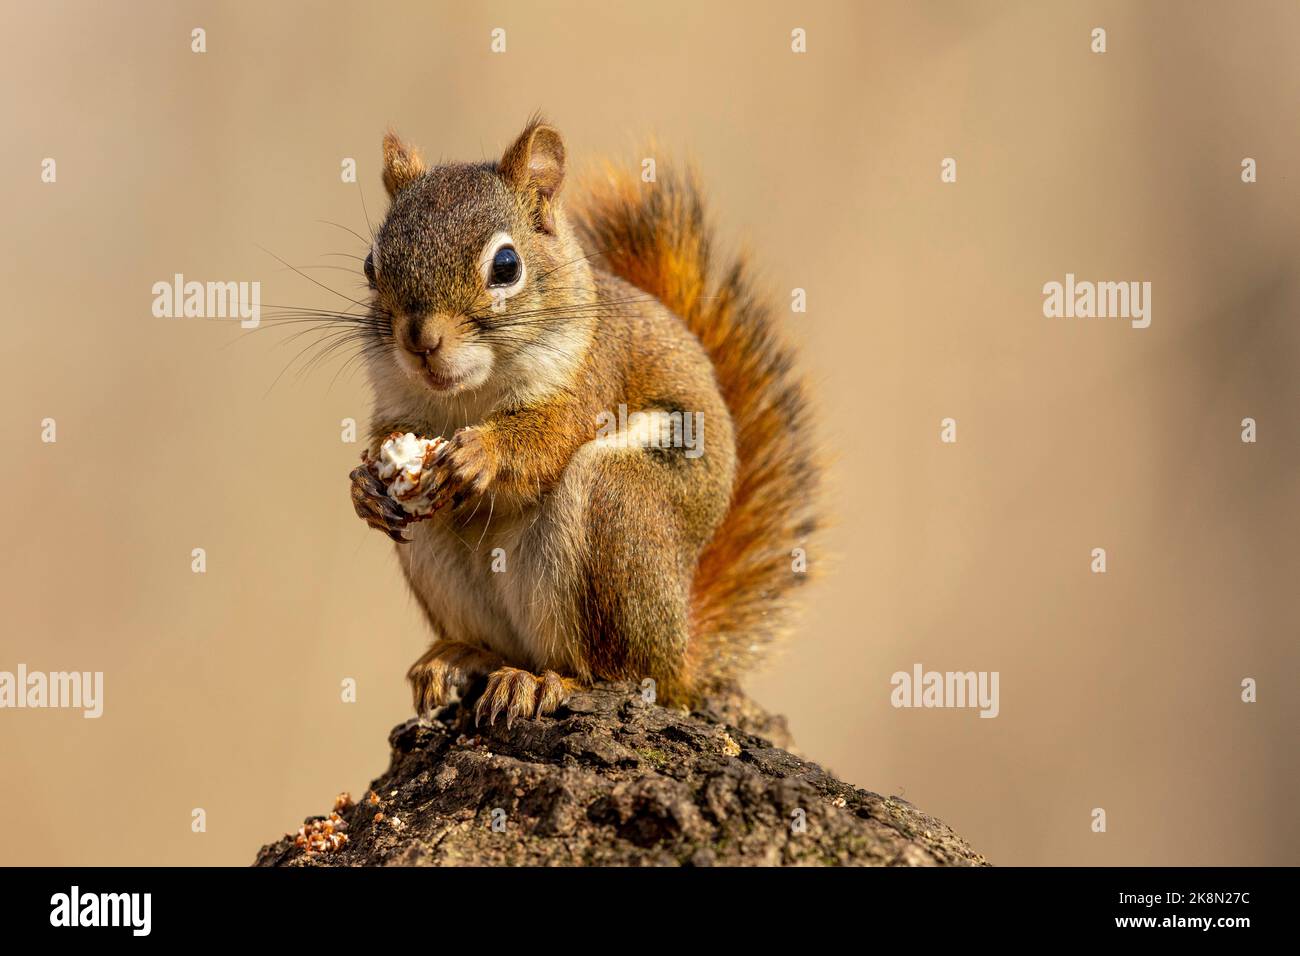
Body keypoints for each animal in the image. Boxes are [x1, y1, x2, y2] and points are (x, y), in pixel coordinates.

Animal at [348, 118, 818, 727]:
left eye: (506, 266)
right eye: (370, 265)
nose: (421, 341)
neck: (468, 397)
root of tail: (680, 653)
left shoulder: (594, 377)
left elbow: (548, 440)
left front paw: (482, 454)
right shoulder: (398, 404)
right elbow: (385, 437)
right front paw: (364, 487)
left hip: (615, 508)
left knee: (612, 670)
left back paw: (545, 682)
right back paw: (461, 656)